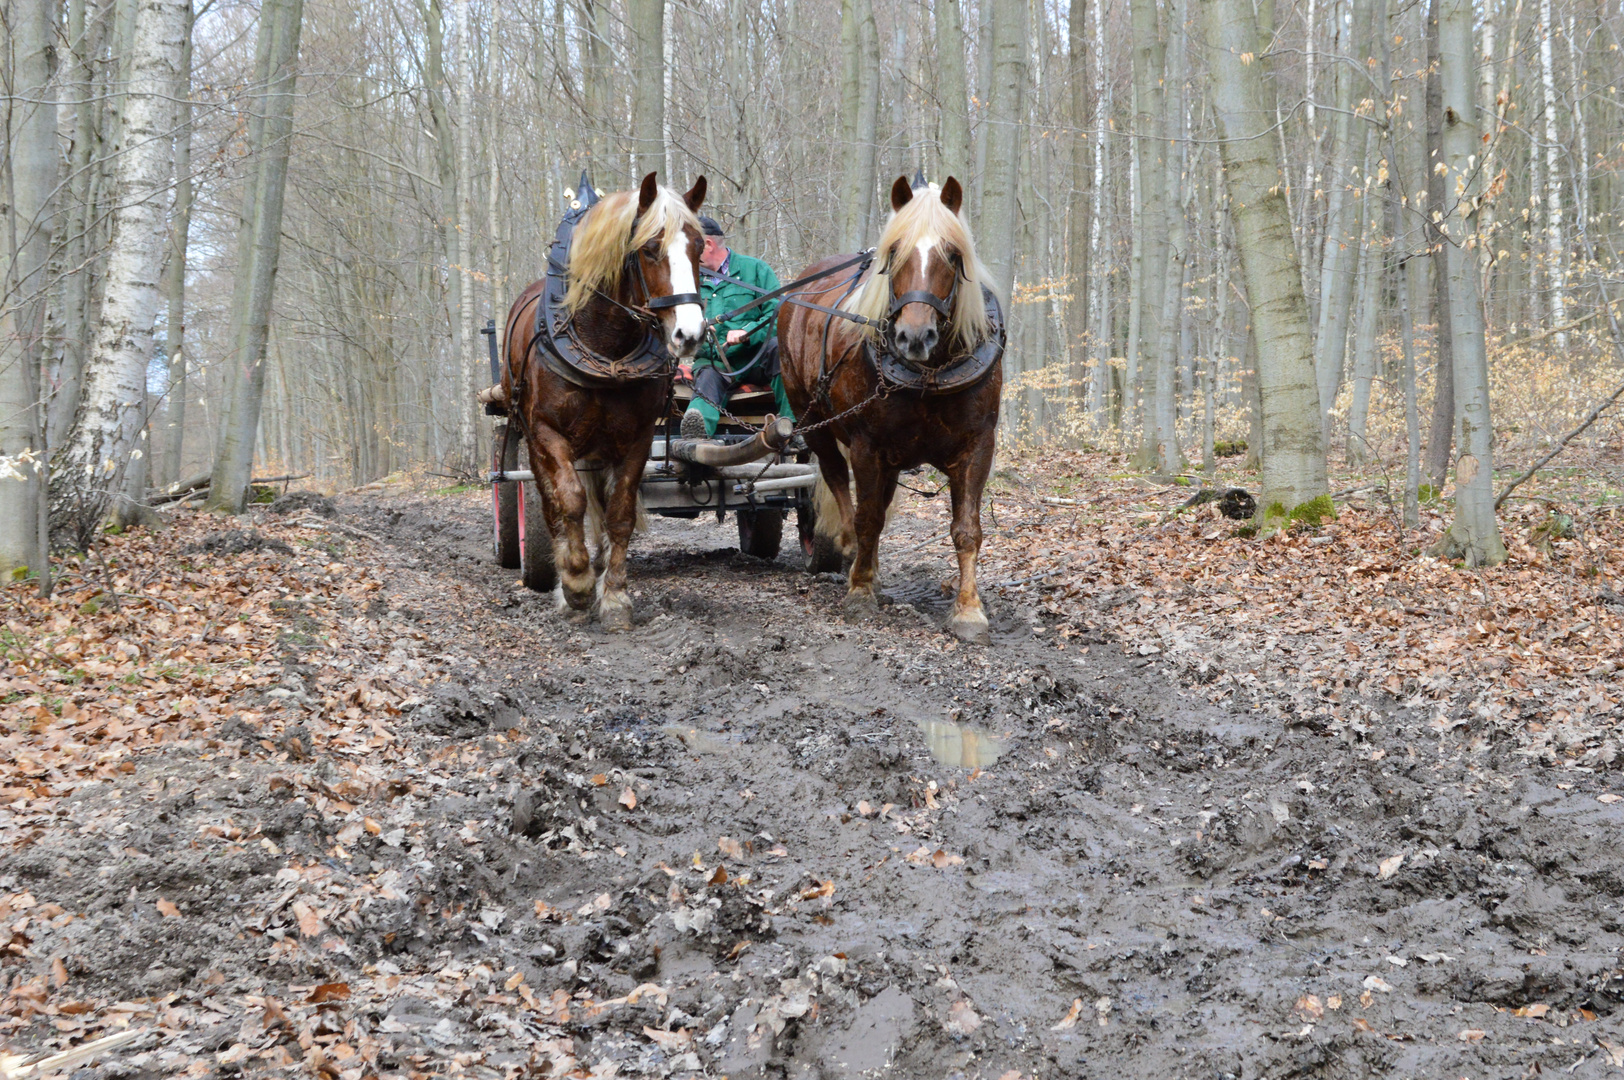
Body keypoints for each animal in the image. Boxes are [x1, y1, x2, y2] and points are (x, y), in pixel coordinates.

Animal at [501, 172, 707, 630]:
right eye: (650, 249)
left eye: (699, 247)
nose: (689, 333)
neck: (604, 345)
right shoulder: (547, 433)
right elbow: (570, 501)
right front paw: (575, 586)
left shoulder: (637, 439)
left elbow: (619, 514)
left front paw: (613, 597)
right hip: (531, 440)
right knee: (551, 504)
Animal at [779, 176, 1003, 644]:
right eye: (894, 251)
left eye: (952, 254)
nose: (913, 337)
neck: (930, 374)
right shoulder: (867, 445)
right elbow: (867, 519)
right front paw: (860, 592)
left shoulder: (978, 446)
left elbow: (967, 530)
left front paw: (969, 611)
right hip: (815, 423)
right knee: (837, 483)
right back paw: (853, 557)